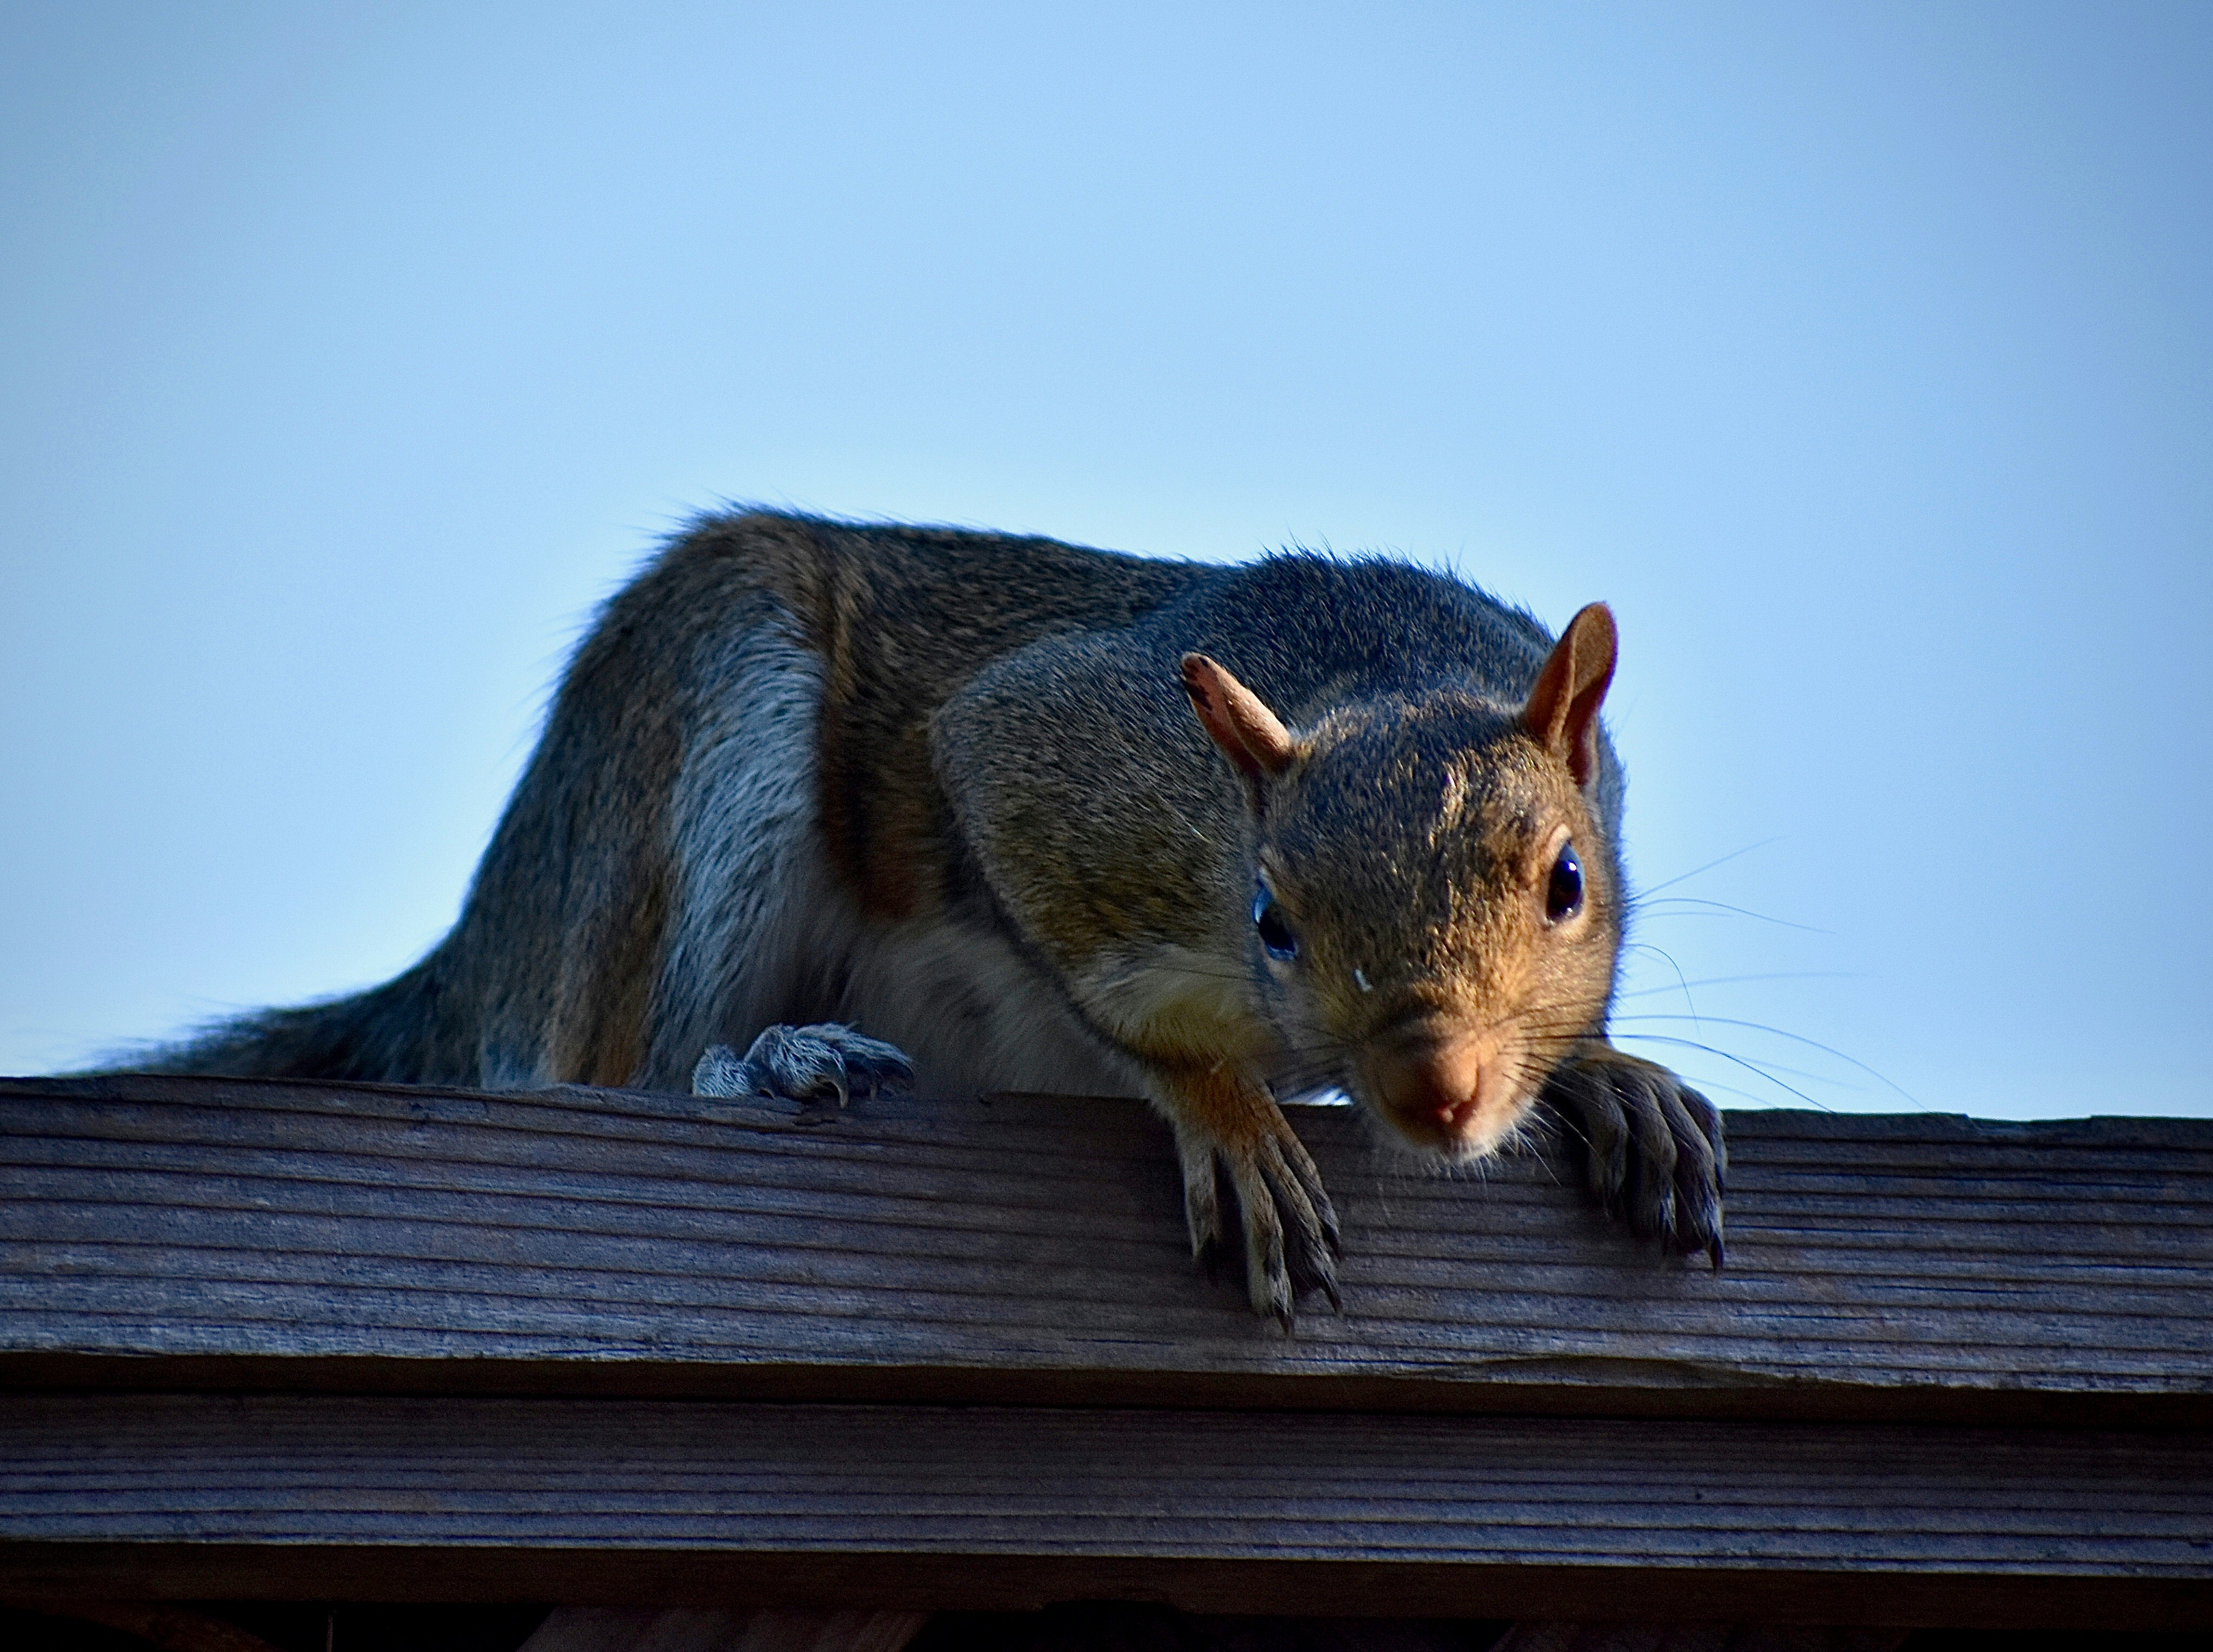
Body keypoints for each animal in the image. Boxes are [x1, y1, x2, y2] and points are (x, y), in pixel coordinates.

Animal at [148, 509, 1725, 1325]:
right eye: (1269, 918)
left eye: (1567, 882)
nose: (1438, 1089)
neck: (1375, 678)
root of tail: (488, 940)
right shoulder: (1069, 770)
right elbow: (1018, 827)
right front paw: (1227, 1116)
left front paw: (1606, 1076)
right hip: (704, 724)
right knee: (615, 1070)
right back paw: (765, 1062)